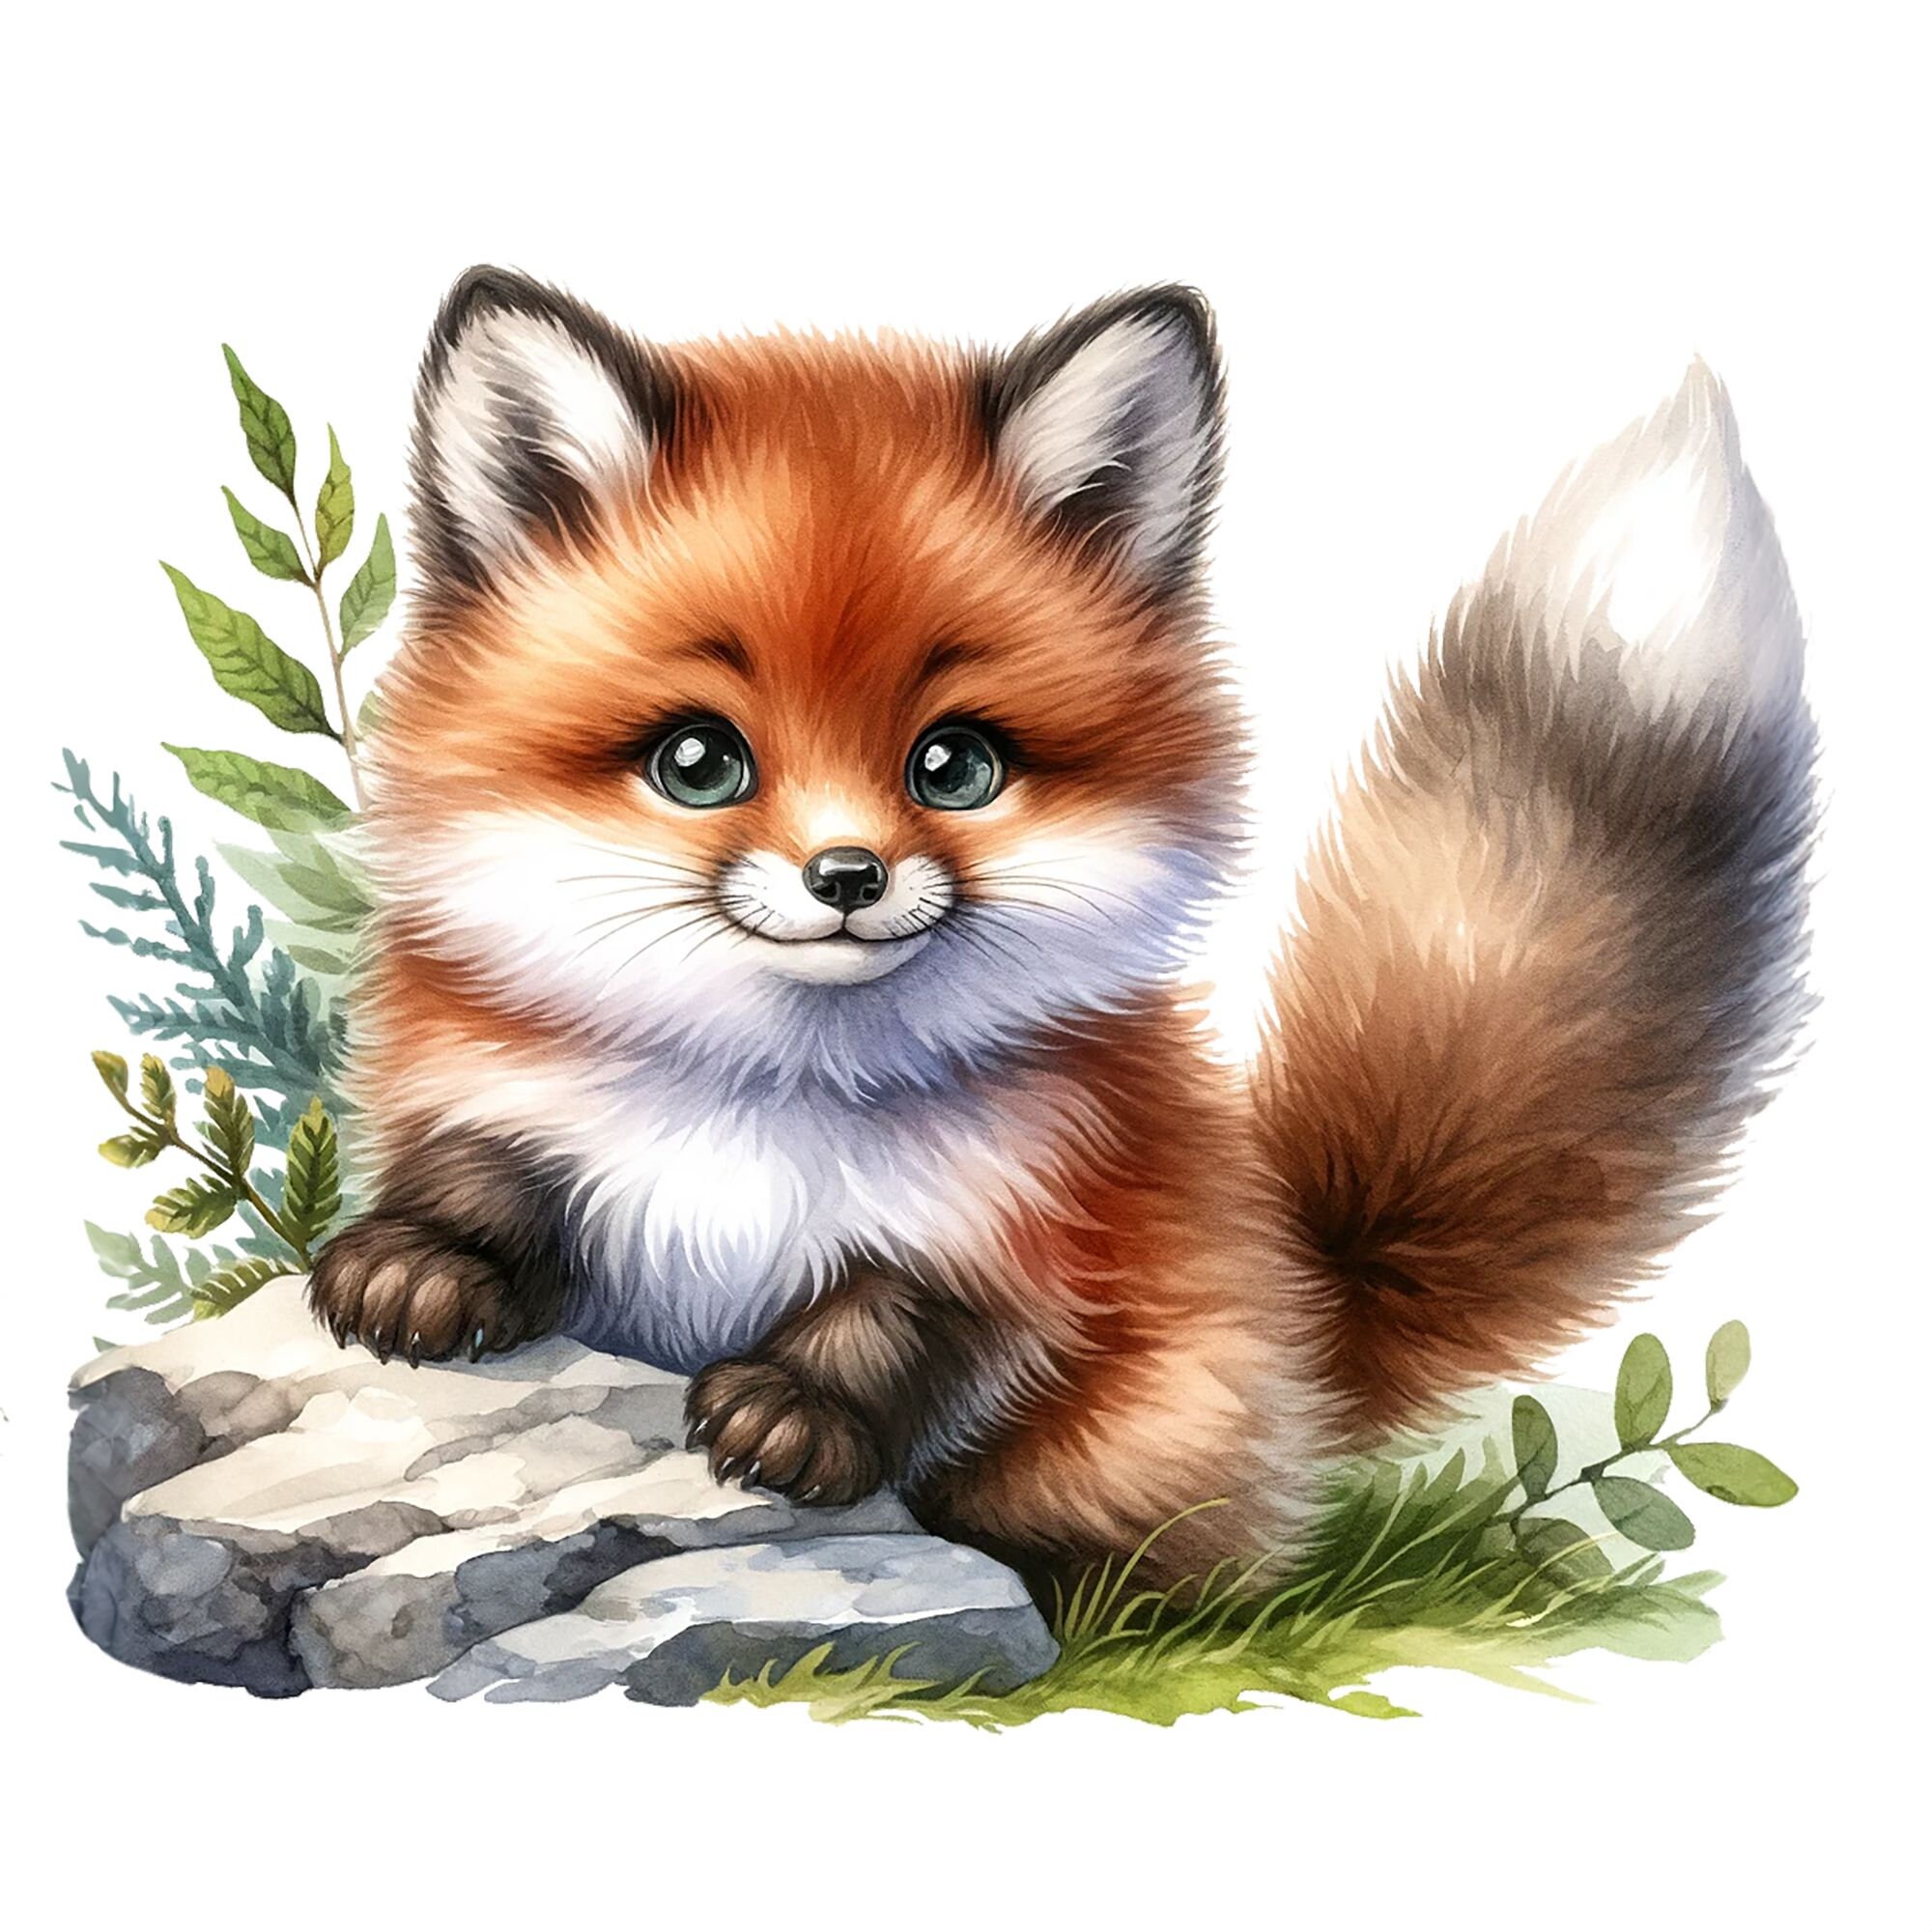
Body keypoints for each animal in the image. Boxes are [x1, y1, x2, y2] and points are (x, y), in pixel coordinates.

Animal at [308, 266, 1815, 1590]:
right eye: (697, 761)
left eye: (955, 765)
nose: (846, 875)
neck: (762, 1108)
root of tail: (1307, 1300)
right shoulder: (507, 1094)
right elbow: (480, 1182)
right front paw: (416, 1268)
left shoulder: (1011, 1234)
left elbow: (884, 1335)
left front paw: (795, 1413)